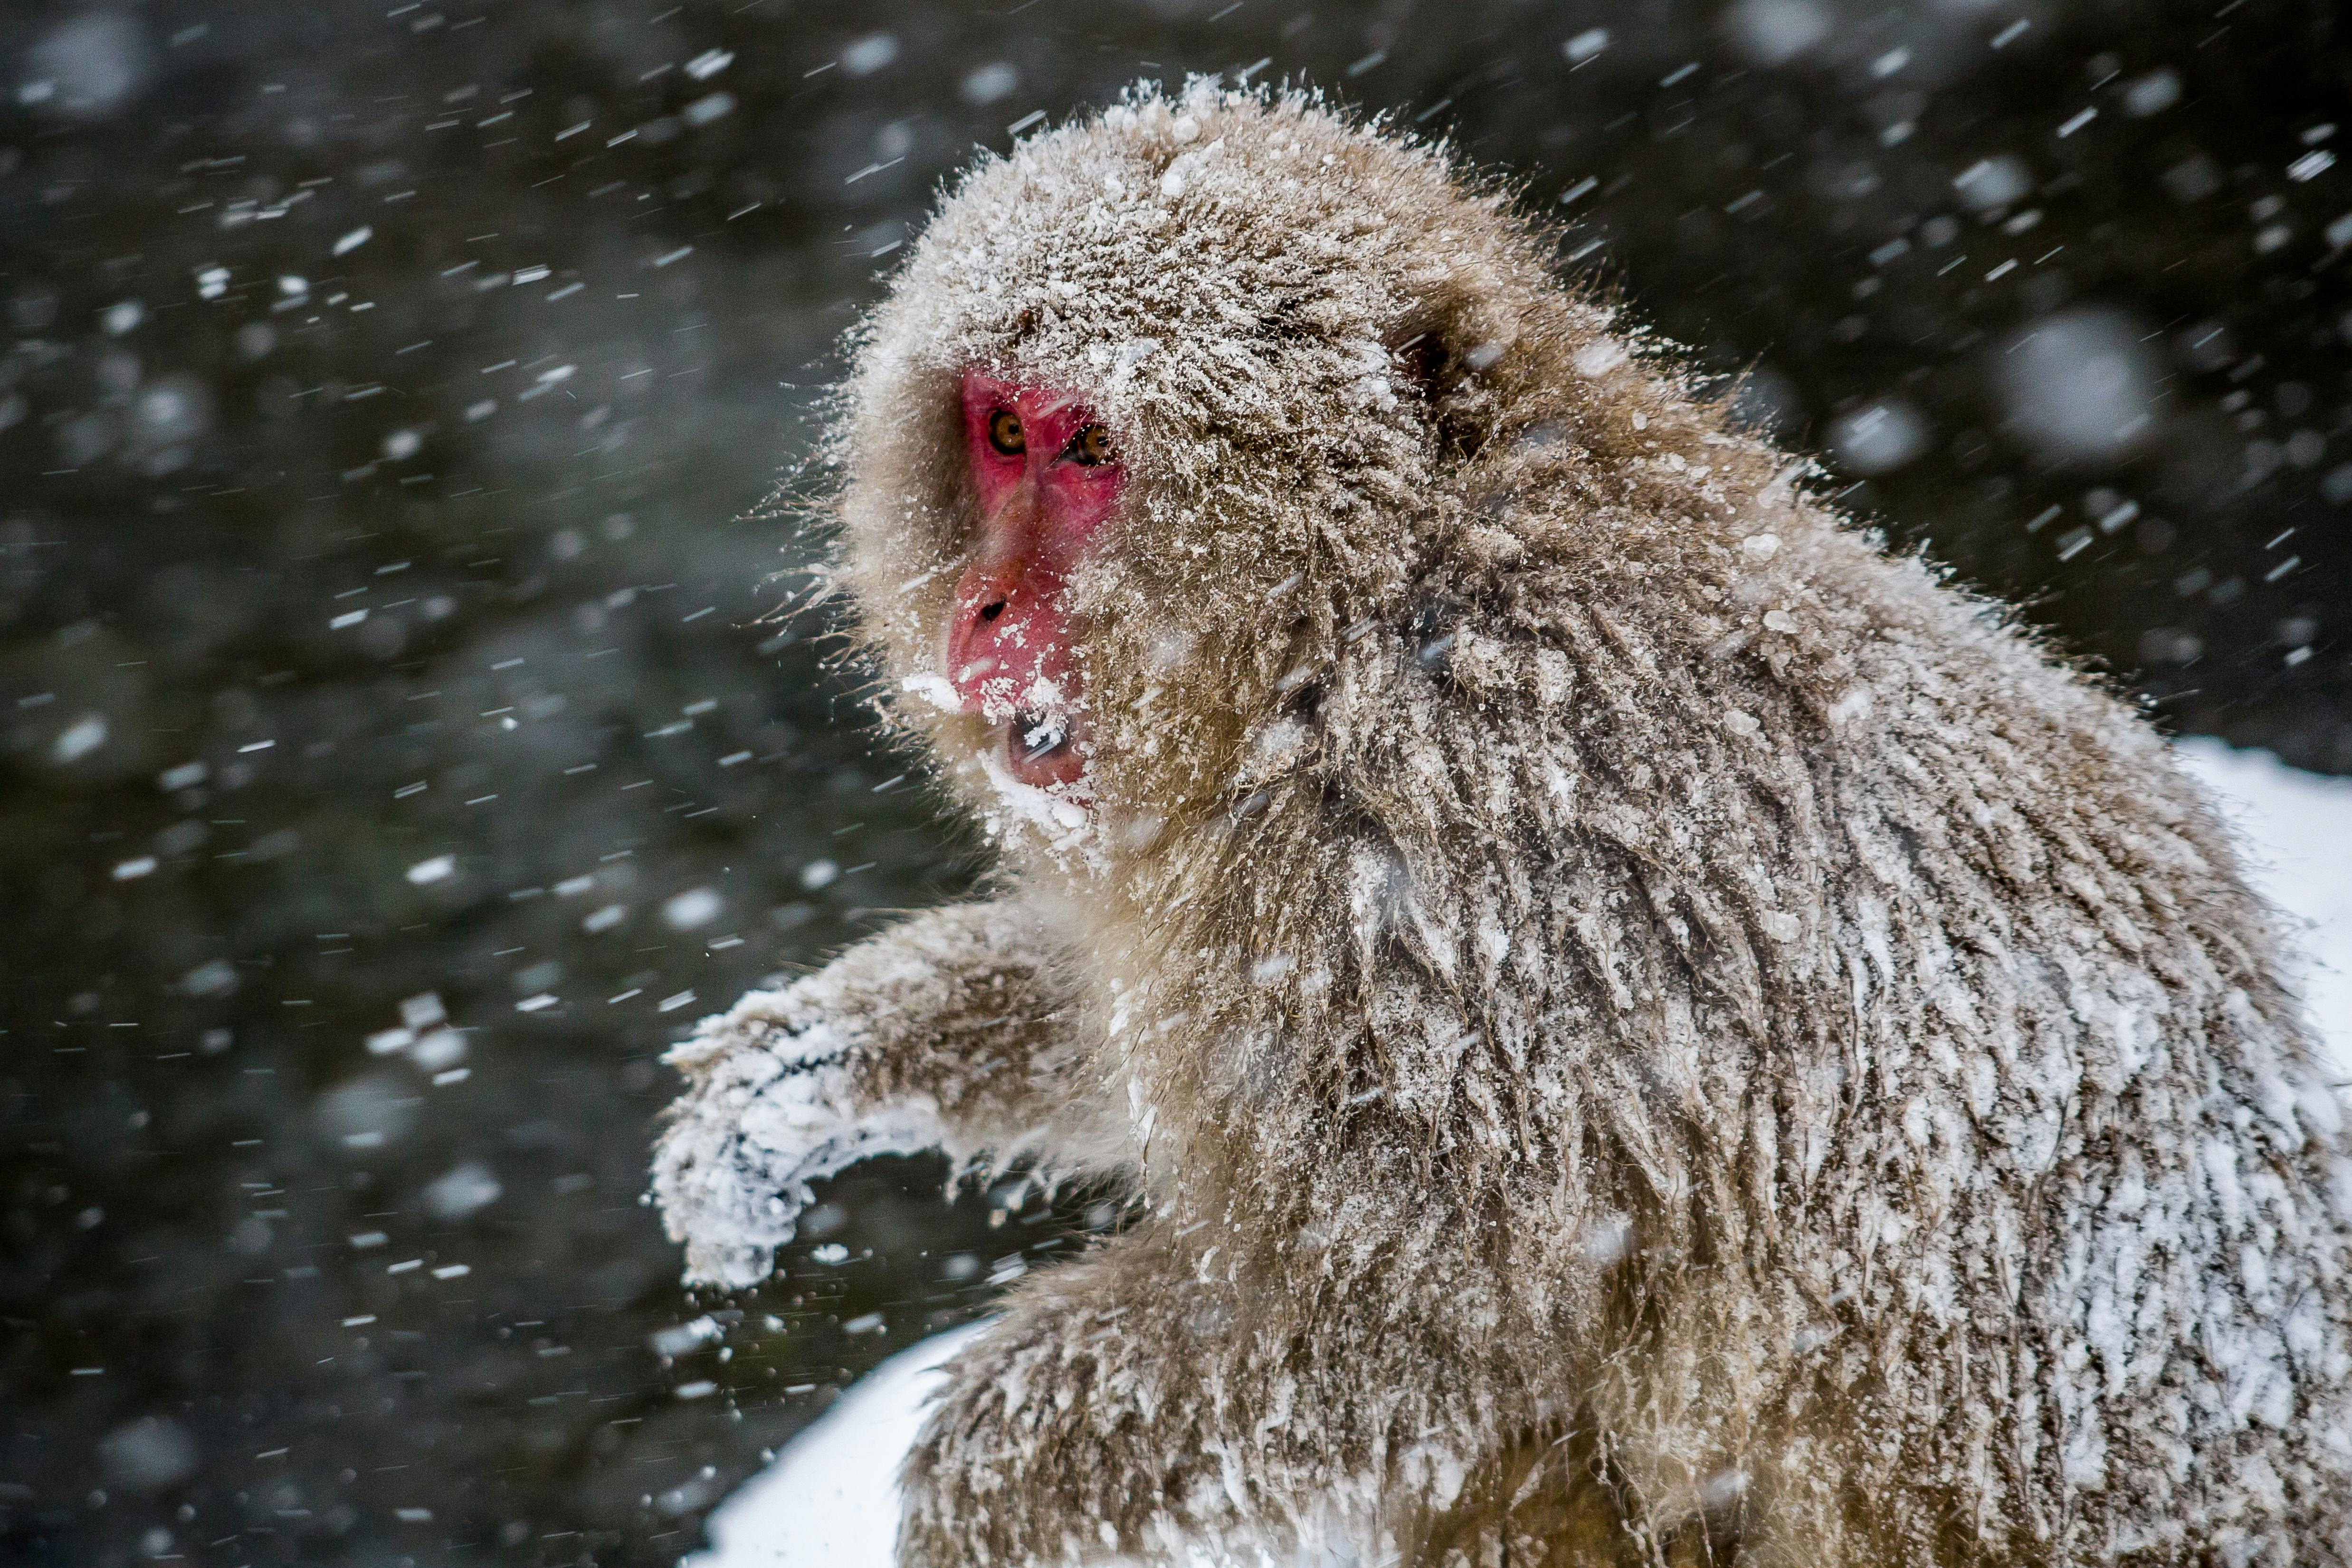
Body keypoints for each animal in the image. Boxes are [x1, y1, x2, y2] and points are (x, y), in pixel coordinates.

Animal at [653, 80, 2352, 1567]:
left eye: (1083, 448)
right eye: (998, 432)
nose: (982, 613)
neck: (1379, 606)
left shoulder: (1456, 892)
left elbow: (1410, 1344)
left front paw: (971, 1487)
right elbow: (1158, 1046)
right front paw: (806, 1068)